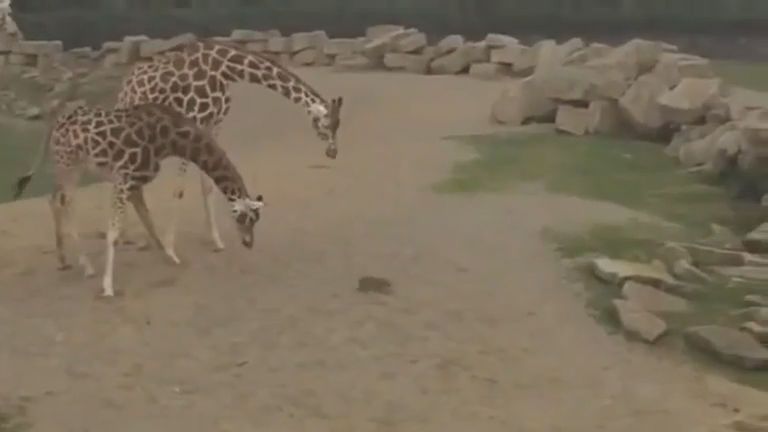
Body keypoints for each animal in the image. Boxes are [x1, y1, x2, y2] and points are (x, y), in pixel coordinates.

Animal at [12, 102, 265, 298]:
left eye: (255, 220)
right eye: (247, 218)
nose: (249, 243)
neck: (170, 140)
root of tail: (54, 124)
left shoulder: (135, 181)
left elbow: (147, 217)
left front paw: (169, 255)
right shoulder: (123, 178)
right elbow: (114, 233)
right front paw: (108, 287)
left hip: (72, 167)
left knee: (54, 199)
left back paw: (63, 260)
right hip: (69, 164)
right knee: (65, 202)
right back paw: (87, 266)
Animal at [114, 39, 343, 256]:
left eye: (337, 125)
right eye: (327, 125)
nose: (333, 153)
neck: (223, 69)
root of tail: (125, 86)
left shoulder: (213, 124)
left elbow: (207, 187)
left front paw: (216, 241)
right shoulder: (193, 120)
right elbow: (179, 189)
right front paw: (171, 248)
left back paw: (132, 237)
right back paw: (130, 238)